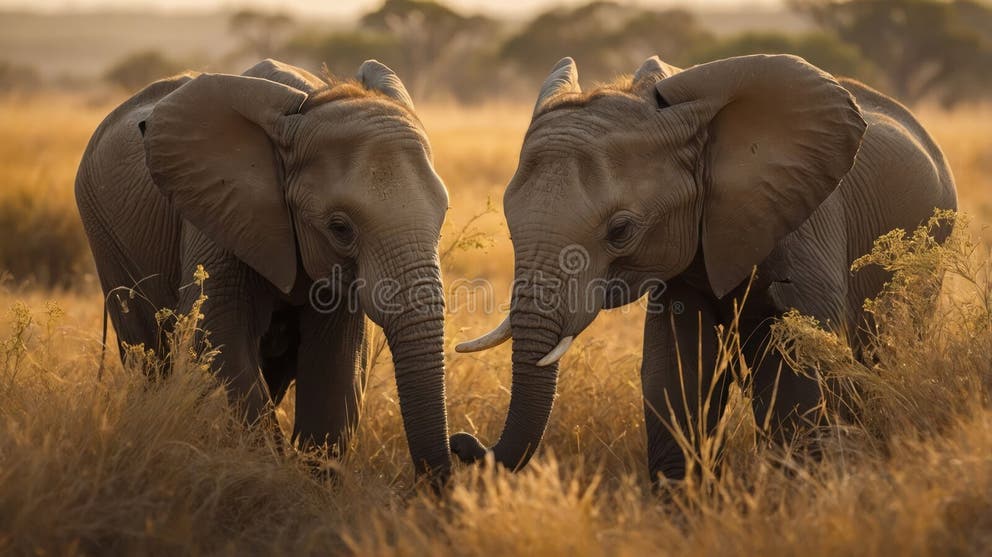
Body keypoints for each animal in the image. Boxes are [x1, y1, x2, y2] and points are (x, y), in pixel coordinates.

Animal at [75, 59, 452, 482]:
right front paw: (269, 473)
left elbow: (337, 358)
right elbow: (222, 333)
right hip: (102, 226)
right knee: (148, 351)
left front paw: (311, 484)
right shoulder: (220, 212)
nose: (462, 450)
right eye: (340, 228)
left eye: (443, 216)